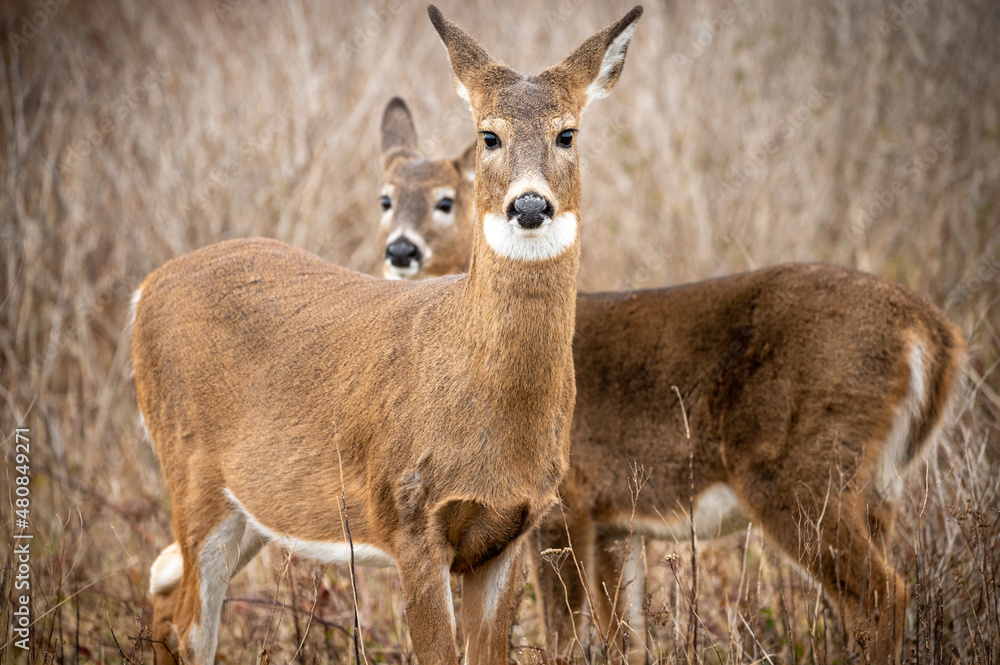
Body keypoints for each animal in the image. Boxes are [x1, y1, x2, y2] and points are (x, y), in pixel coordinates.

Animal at [131, 5, 644, 664]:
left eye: (568, 133)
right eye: (489, 135)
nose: (529, 206)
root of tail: (146, 288)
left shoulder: (511, 529)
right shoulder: (410, 519)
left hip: (254, 503)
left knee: (166, 589)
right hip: (191, 471)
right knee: (192, 623)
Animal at [370, 102, 967, 663]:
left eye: (446, 200)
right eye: (385, 198)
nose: (401, 250)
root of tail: (933, 333)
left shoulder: (564, 502)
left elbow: (565, 635)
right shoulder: (617, 518)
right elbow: (627, 638)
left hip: (801, 473)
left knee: (884, 596)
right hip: (878, 486)